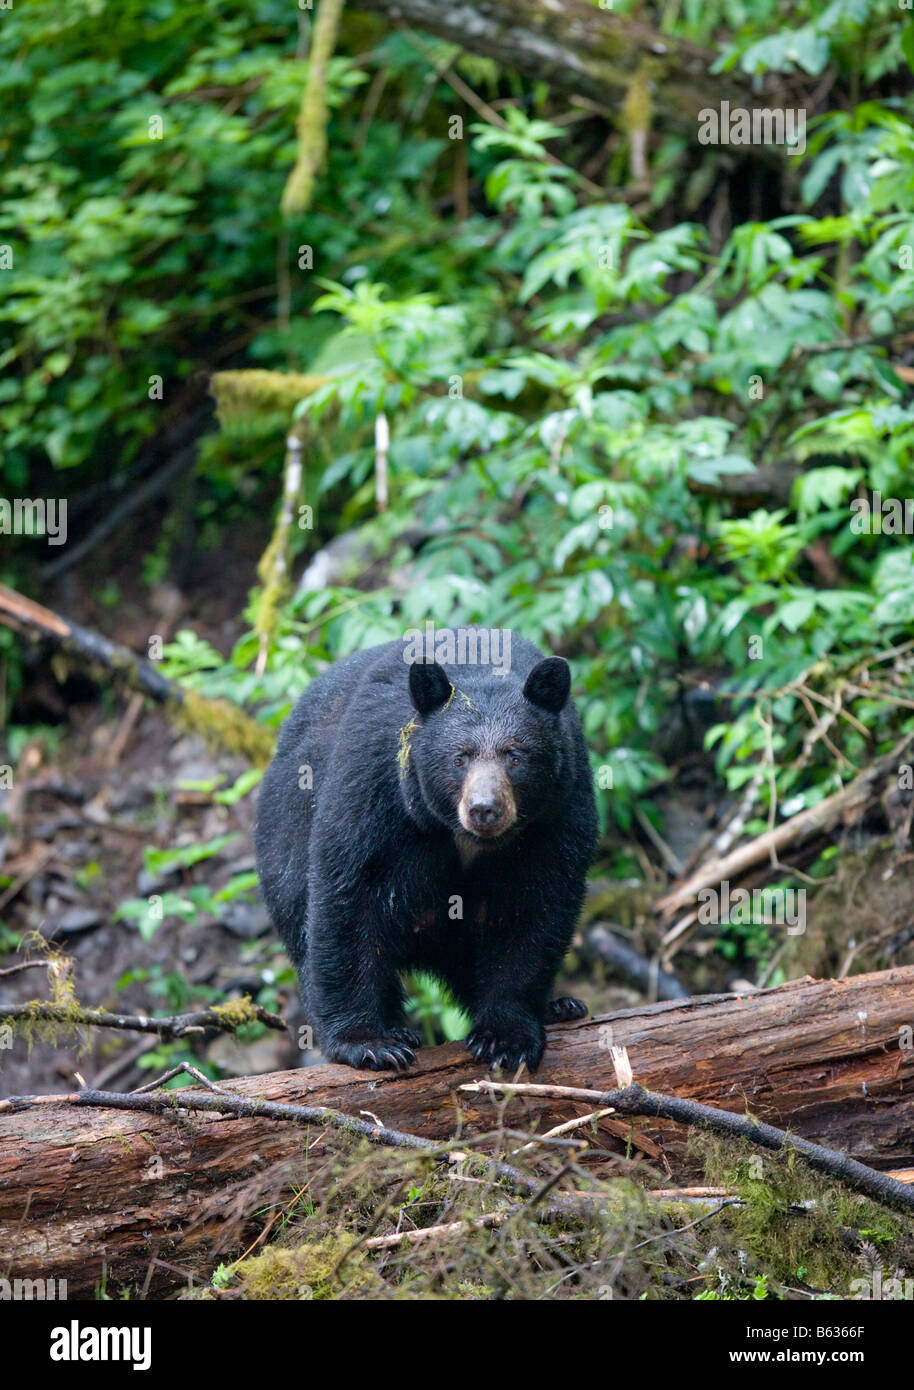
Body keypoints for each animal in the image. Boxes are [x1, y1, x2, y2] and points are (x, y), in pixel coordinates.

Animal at [255, 626, 597, 1072]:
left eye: (516, 756)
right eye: (459, 758)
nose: (484, 809)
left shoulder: (558, 809)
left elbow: (537, 910)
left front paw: (506, 1036)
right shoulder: (375, 782)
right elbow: (349, 894)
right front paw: (369, 1042)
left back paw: (558, 1007)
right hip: (283, 839)